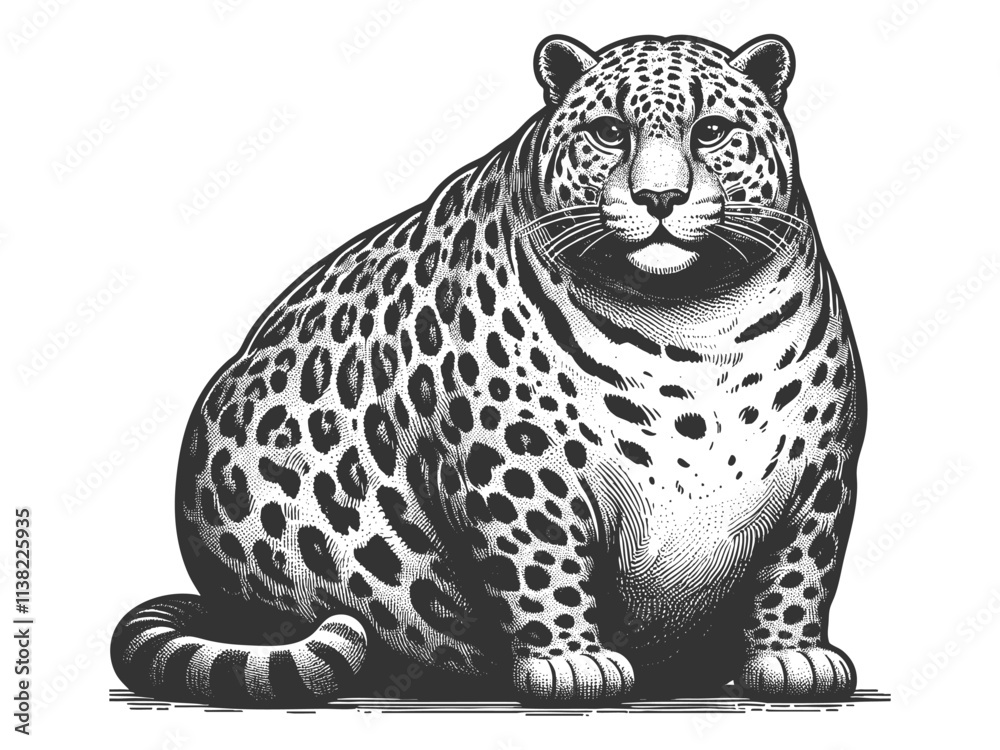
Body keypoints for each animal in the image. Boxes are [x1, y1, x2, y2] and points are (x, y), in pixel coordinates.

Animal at [111, 32, 867, 707]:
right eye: (608, 132)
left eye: (711, 130)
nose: (660, 198)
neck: (693, 323)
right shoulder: (515, 460)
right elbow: (544, 564)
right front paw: (571, 662)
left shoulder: (823, 471)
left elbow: (801, 567)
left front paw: (793, 655)